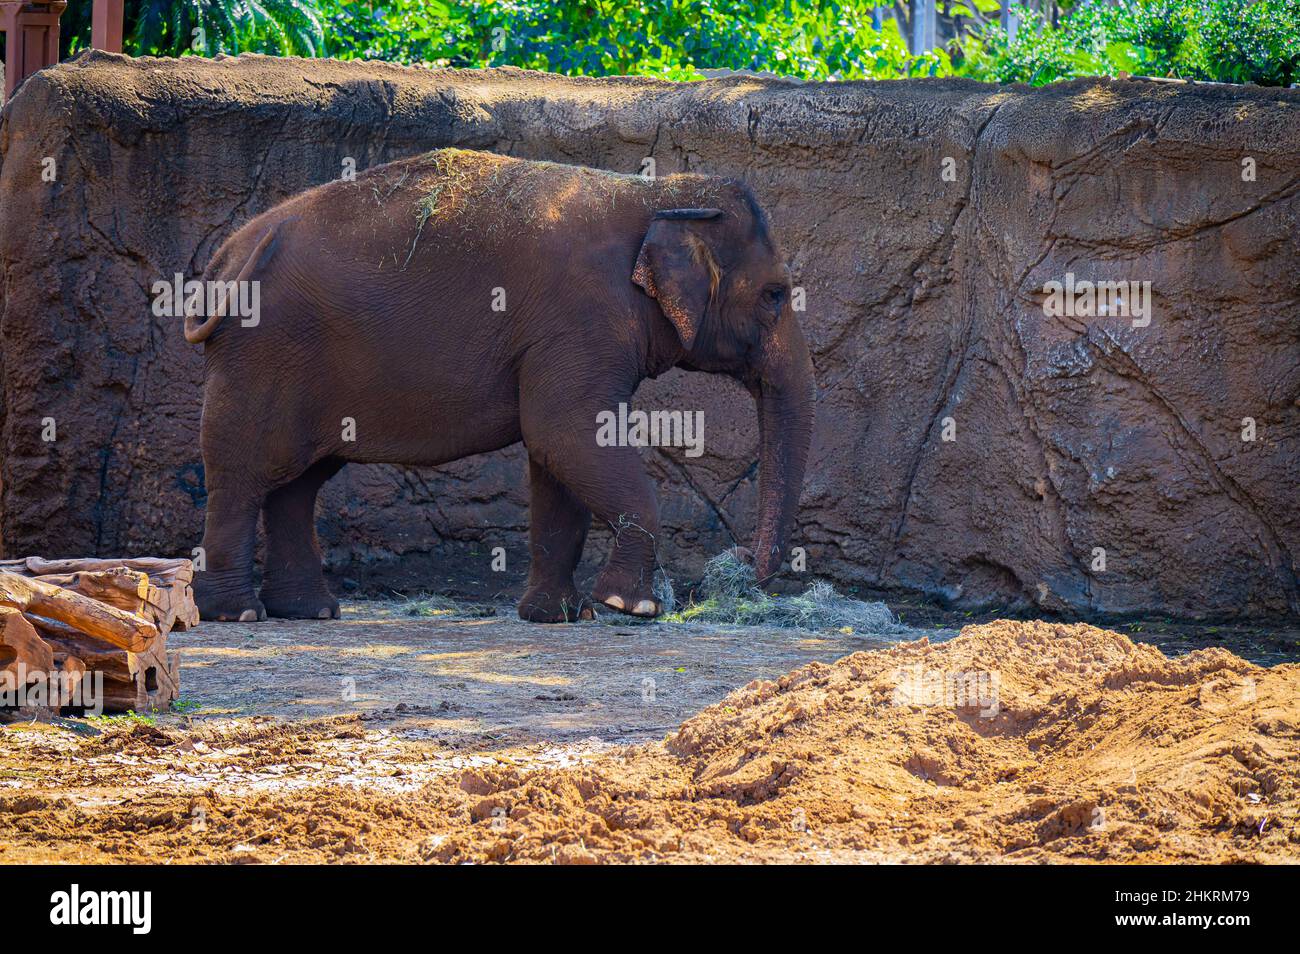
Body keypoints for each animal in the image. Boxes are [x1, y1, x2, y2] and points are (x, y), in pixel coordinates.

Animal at [185, 148, 815, 623]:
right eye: (776, 295)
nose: (736, 565)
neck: (655, 195)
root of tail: (225, 258)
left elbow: (556, 455)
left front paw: (557, 616)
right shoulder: (580, 320)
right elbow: (567, 435)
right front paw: (629, 607)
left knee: (298, 481)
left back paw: (309, 611)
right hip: (261, 351)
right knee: (243, 469)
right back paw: (237, 613)